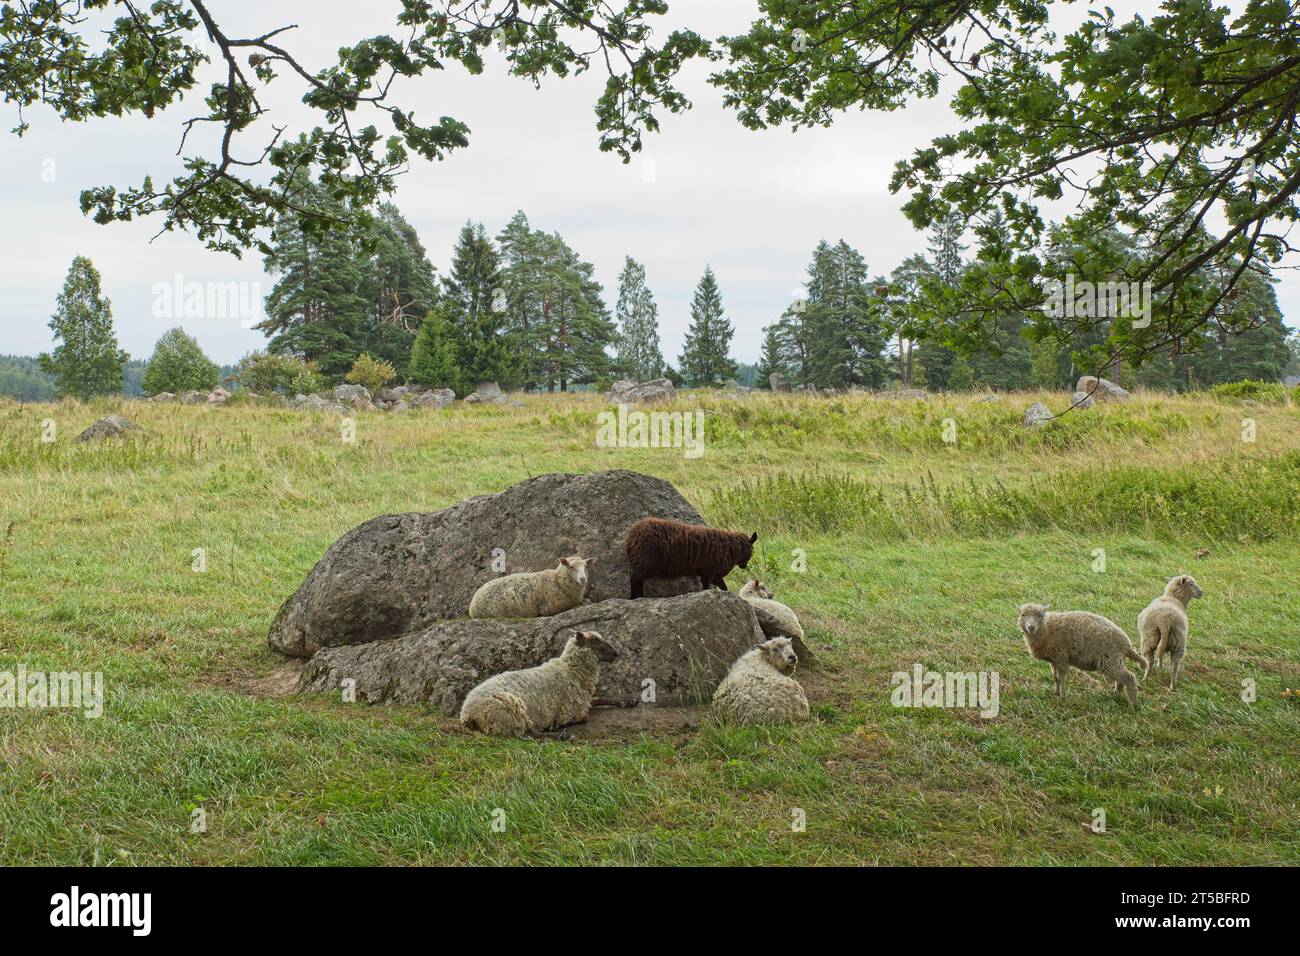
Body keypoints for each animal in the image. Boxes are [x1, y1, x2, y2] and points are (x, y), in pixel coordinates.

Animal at [459, 630, 620, 736]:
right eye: (595, 640)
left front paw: (622, 701)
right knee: (529, 734)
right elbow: (585, 717)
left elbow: (599, 700)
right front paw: (557, 725)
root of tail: (467, 714)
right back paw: (559, 733)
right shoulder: (570, 711)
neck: (570, 670)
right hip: (511, 713)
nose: (616, 653)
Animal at [624, 516, 756, 599]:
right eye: (752, 550)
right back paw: (635, 597)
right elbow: (706, 587)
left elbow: (724, 587)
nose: (744, 567)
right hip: (645, 562)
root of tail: (631, 536)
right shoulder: (707, 572)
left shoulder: (714, 574)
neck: (732, 548)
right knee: (634, 579)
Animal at [1016, 604, 1146, 708]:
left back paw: (1133, 704)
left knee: (1129, 677)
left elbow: (1062, 678)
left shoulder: (1061, 657)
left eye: (1040, 615)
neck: (1047, 628)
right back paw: (1116, 693)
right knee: (1121, 678)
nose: (1031, 627)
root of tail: (1127, 645)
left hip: (1110, 659)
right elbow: (1055, 677)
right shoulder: (1053, 660)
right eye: (1023, 615)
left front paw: (1063, 698)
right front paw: (1056, 693)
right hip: (1115, 660)